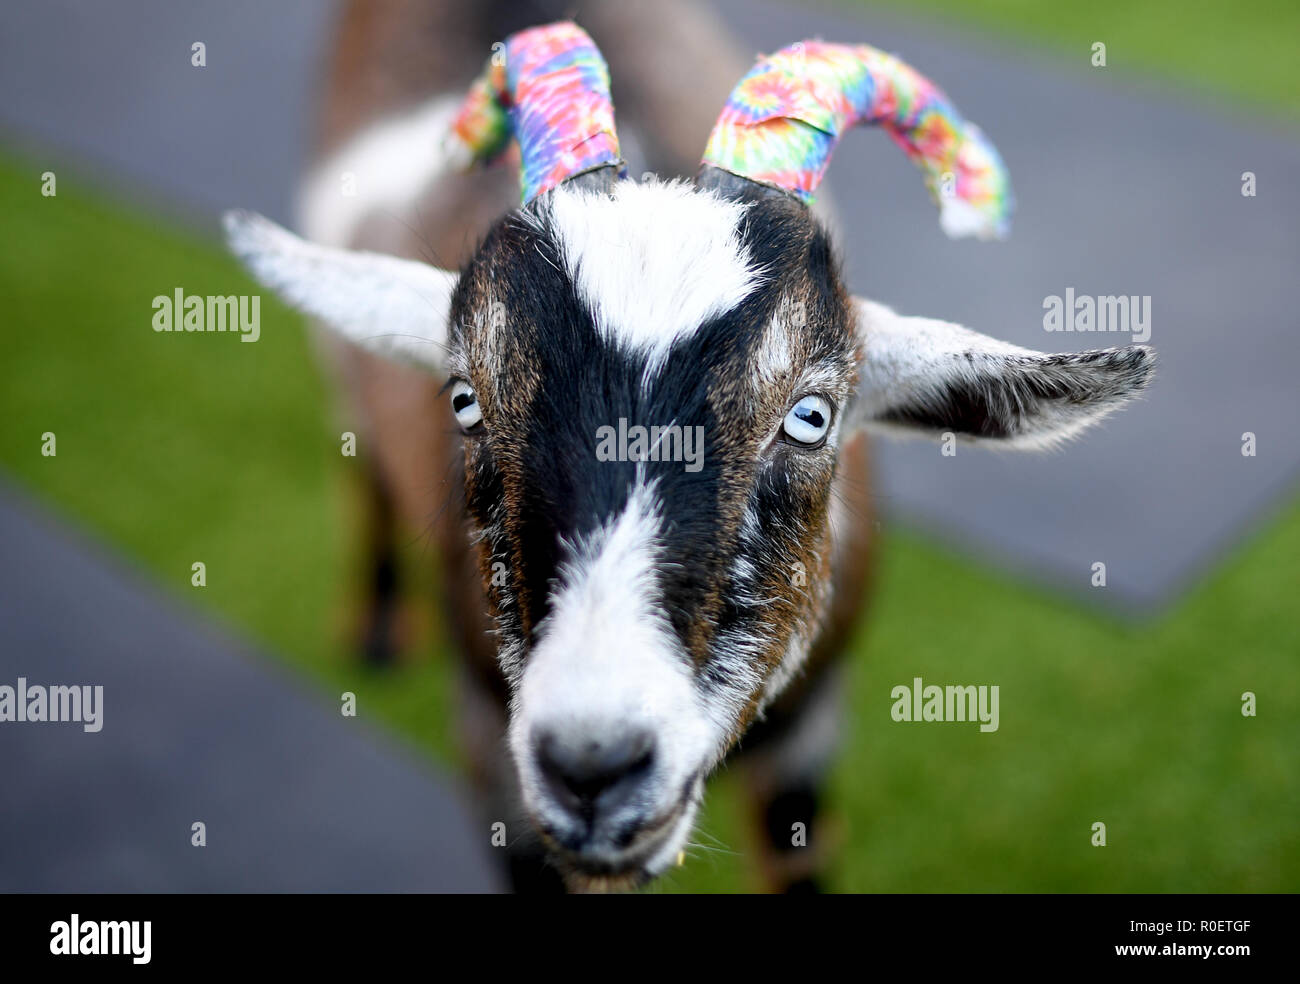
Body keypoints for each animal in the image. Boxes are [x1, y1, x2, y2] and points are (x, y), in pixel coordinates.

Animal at [224, 10, 1155, 892]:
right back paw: (377, 627)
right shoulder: (492, 757)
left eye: (811, 416)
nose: (593, 763)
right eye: (464, 401)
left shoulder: (812, 739)